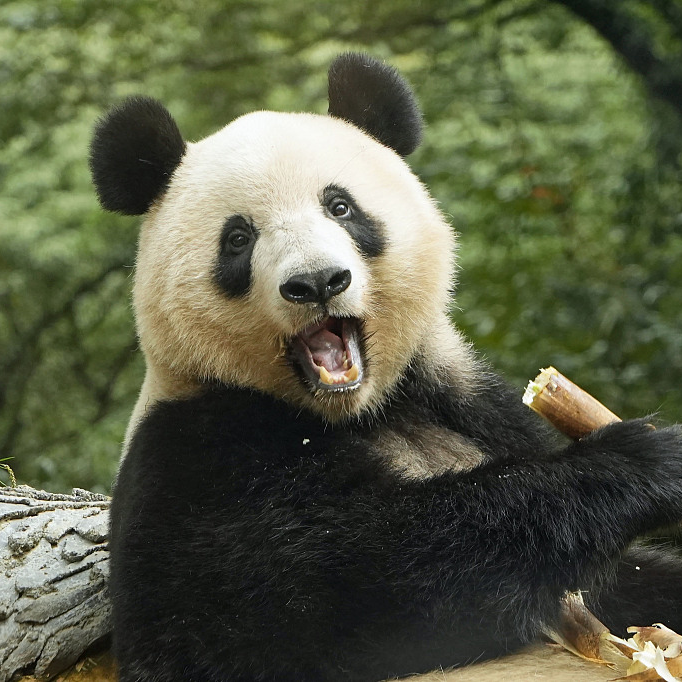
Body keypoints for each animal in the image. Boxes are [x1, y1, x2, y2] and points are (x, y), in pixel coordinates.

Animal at [90, 53, 682, 681]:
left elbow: (624, 582)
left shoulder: (465, 398)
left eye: (340, 206)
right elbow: (311, 594)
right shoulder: (198, 452)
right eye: (238, 238)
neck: (357, 409)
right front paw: (644, 458)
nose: (317, 282)